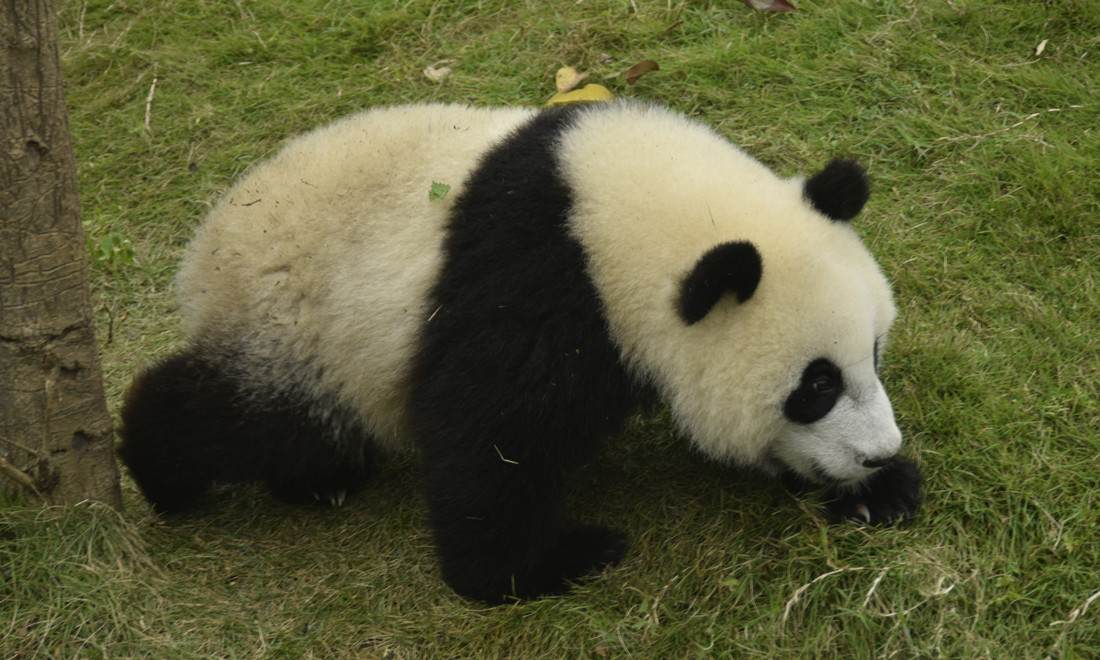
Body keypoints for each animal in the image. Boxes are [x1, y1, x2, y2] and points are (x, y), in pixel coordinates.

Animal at [119, 101, 923, 603]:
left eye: (875, 355)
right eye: (815, 386)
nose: (878, 452)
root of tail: (204, 255)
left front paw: (878, 493)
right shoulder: (538, 287)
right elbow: (494, 438)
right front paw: (540, 567)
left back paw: (317, 484)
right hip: (300, 323)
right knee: (255, 416)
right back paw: (165, 471)